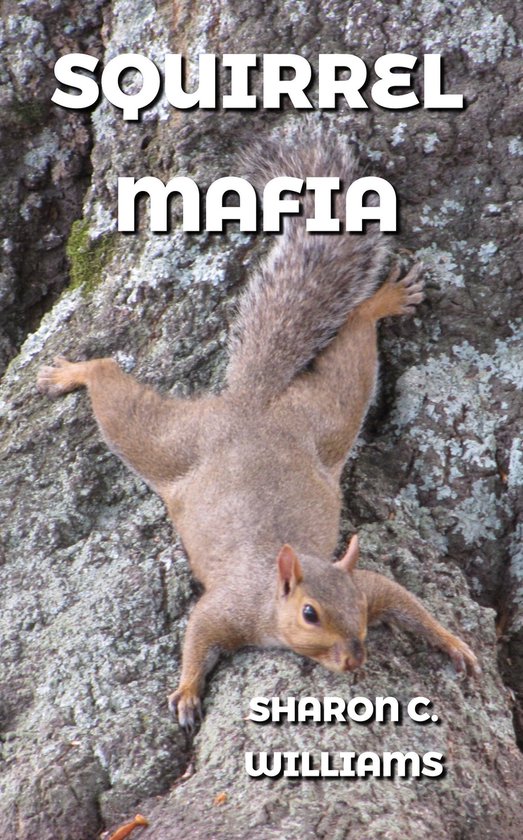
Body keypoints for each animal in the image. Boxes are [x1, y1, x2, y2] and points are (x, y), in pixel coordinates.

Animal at [37, 131, 479, 730]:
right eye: (310, 613)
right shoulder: (229, 606)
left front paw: (450, 641)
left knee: (356, 339)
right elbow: (198, 632)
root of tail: (252, 399)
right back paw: (71, 373)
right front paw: (186, 691)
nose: (354, 659)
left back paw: (382, 302)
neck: (275, 595)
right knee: (109, 383)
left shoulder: (364, 582)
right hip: (172, 439)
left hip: (323, 418)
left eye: (357, 611)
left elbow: (402, 597)